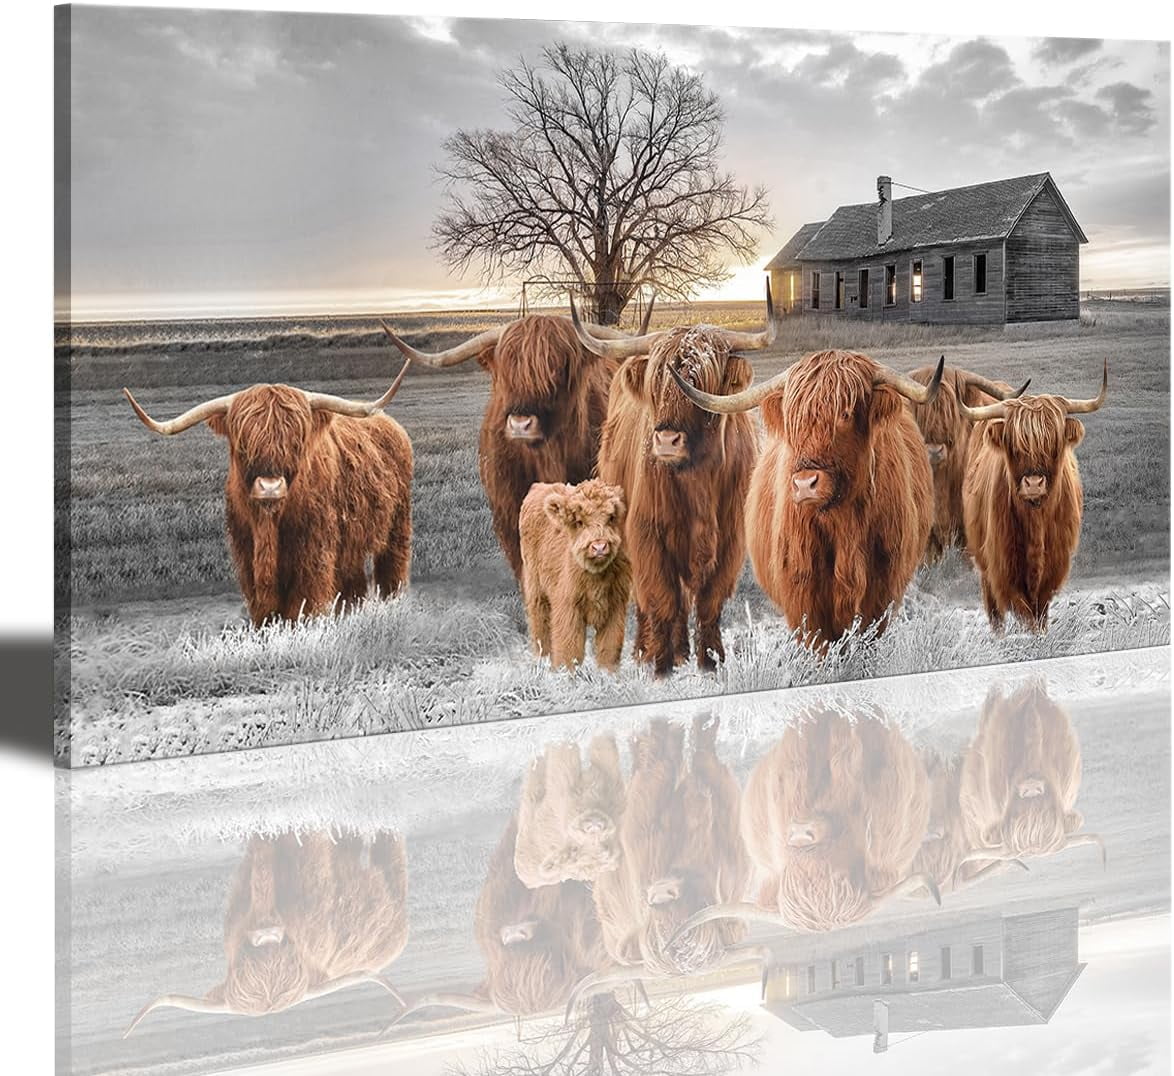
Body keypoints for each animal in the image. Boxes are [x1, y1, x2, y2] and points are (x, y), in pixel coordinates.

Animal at [123, 353, 413, 626]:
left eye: (297, 442)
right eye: (243, 444)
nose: (270, 487)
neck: (268, 523)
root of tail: (393, 426)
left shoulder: (314, 557)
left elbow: (303, 607)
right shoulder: (246, 557)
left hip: (397, 528)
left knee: (392, 571)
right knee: (354, 586)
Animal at [519, 480, 631, 672]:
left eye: (610, 518)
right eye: (579, 521)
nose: (599, 547)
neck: (596, 578)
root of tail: (539, 486)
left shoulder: (615, 608)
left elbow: (609, 649)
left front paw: (607, 674)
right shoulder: (568, 608)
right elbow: (569, 648)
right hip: (535, 588)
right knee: (540, 625)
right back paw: (542, 659)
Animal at [570, 288, 776, 674]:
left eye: (703, 382)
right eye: (657, 384)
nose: (666, 440)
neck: (698, 482)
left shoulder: (730, 542)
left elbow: (708, 603)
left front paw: (711, 661)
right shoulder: (648, 536)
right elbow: (662, 600)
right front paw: (660, 665)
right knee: (648, 598)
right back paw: (646, 650)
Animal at [671, 349, 943, 647]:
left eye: (845, 413)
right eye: (793, 419)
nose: (805, 484)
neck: (843, 525)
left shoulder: (882, 591)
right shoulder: (802, 596)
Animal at [961, 362, 1108, 632]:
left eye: (1054, 444)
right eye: (1014, 445)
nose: (1034, 483)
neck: (1036, 521)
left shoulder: (1053, 571)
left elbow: (1039, 616)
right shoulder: (1003, 570)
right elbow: (1022, 613)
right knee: (995, 613)